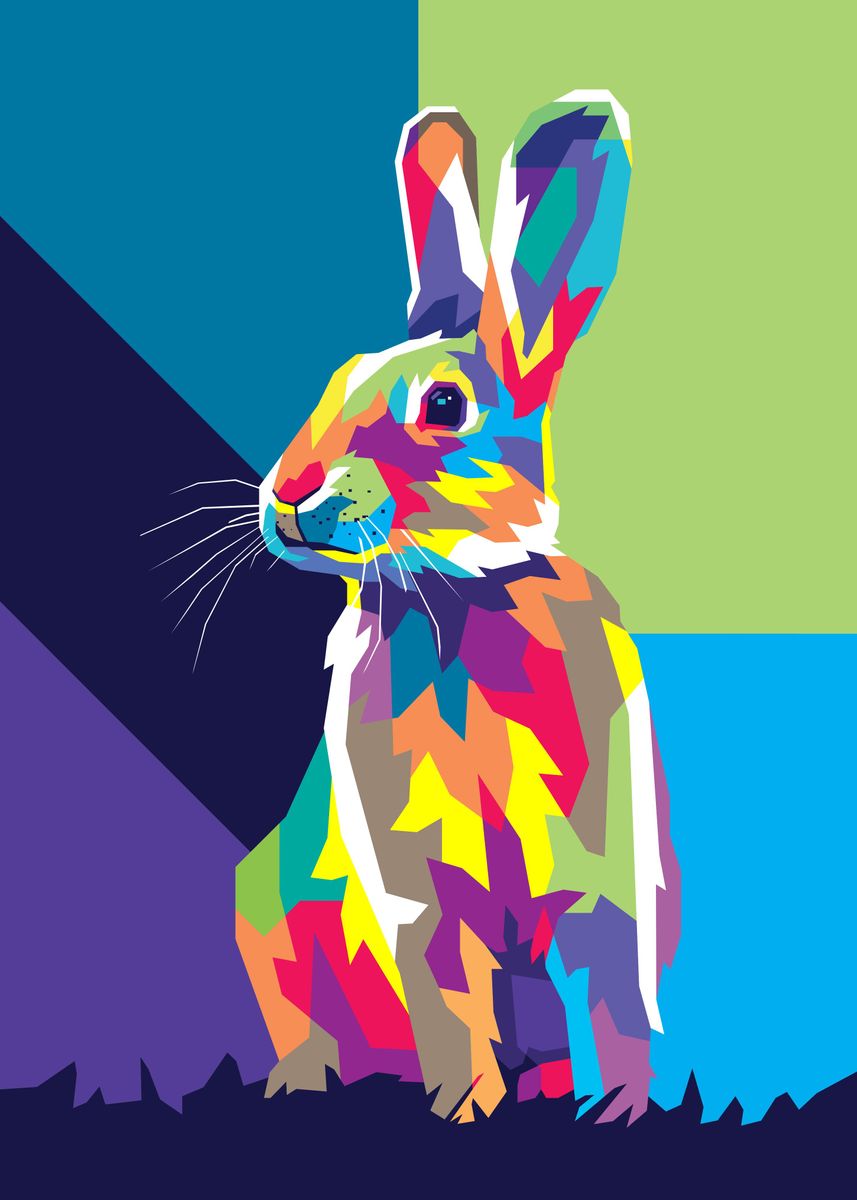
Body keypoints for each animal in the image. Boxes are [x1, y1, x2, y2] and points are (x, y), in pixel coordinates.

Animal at [235, 90, 680, 1124]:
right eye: (336, 376)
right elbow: (445, 988)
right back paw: (299, 1085)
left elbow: (611, 981)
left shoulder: (605, 870)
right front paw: (463, 1108)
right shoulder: (417, 895)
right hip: (268, 928)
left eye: (443, 406)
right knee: (302, 1024)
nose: (289, 491)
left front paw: (621, 1111)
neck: (457, 593)